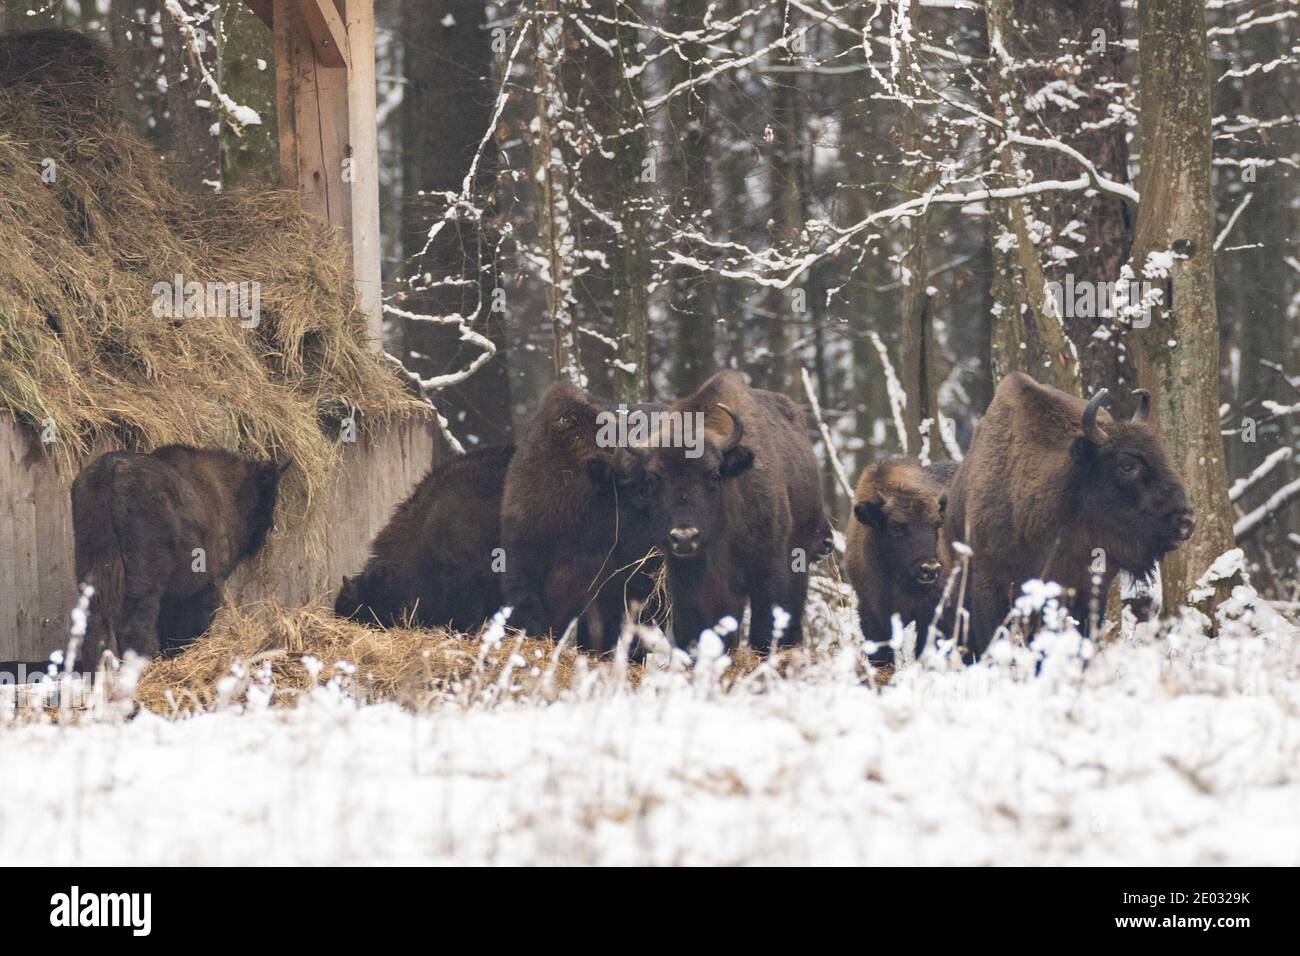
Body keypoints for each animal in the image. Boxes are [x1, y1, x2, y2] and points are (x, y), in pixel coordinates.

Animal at [72, 445, 284, 662]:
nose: (270, 526)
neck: (226, 490)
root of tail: (112, 473)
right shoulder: (208, 584)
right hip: (143, 580)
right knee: (134, 625)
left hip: (93, 565)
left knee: (95, 623)